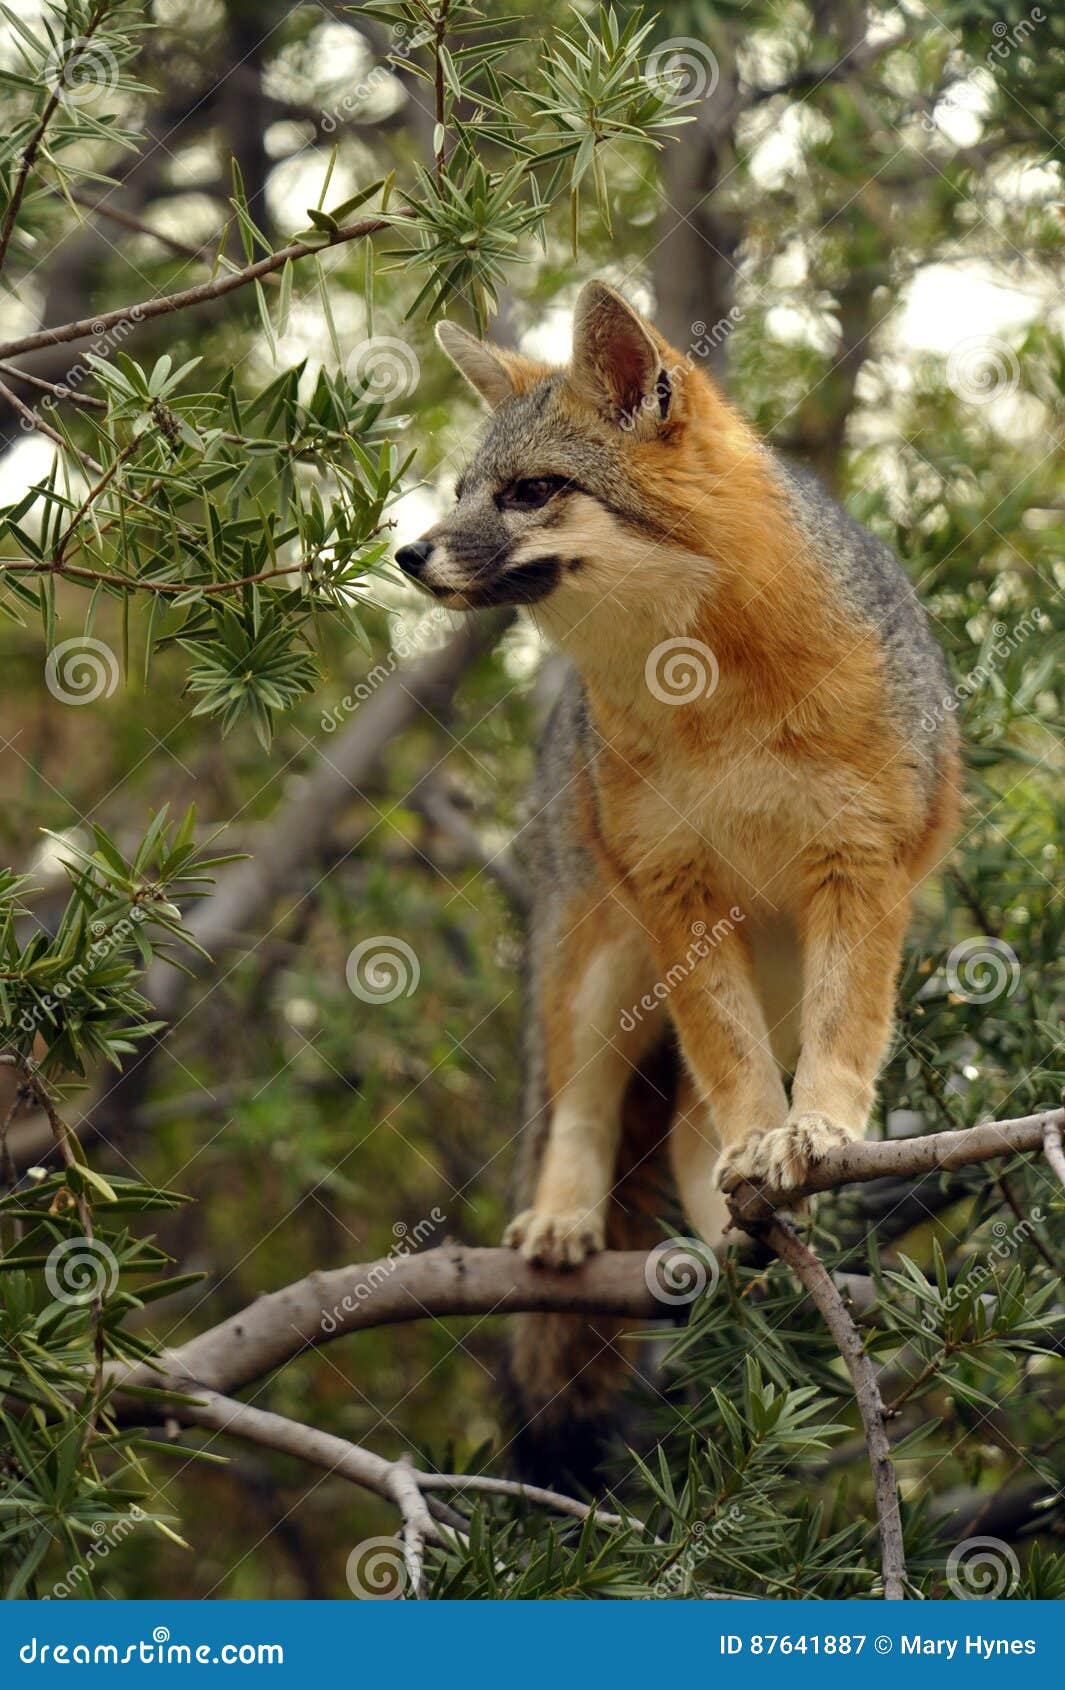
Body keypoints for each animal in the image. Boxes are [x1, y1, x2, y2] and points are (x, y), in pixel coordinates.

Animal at [395, 280, 961, 1481]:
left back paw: (743, 1230)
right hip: (602, 967)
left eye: (530, 492)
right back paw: (571, 1220)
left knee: (693, 1129)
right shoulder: (678, 894)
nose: (411, 553)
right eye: (464, 491)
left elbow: (841, 1042)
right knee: (587, 1105)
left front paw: (821, 1132)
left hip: (770, 956)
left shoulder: (858, 874)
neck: (718, 699)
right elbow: (727, 1071)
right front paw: (765, 1140)